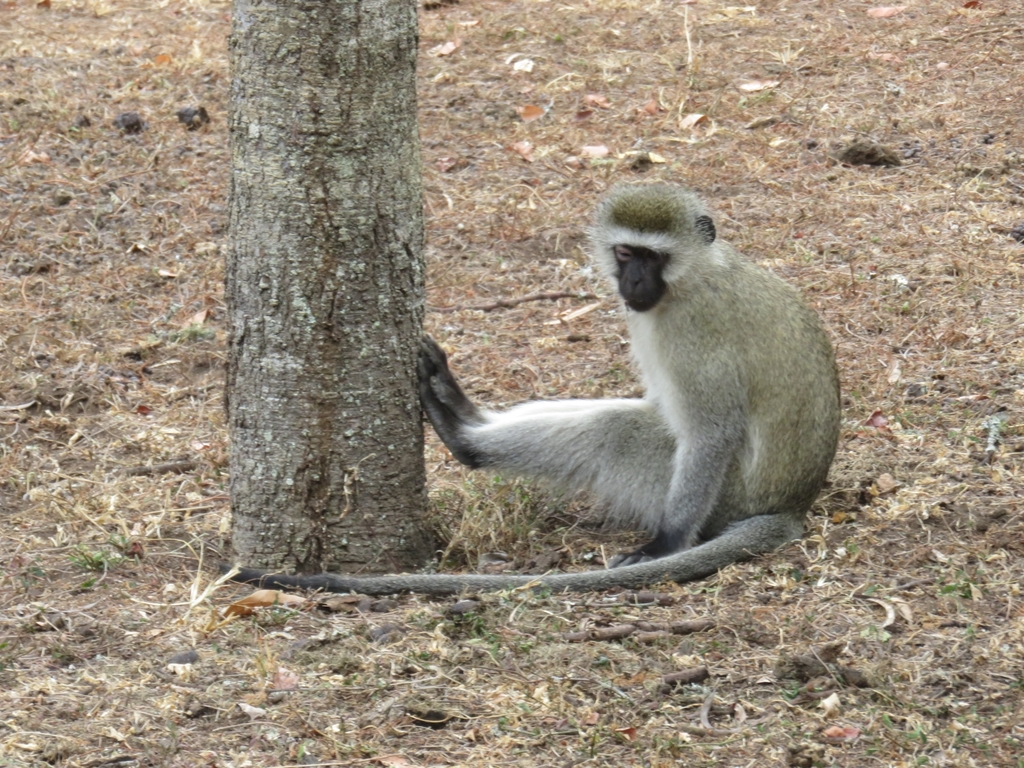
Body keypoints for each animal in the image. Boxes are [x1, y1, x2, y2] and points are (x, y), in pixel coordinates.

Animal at [228, 184, 840, 596]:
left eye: (654, 257)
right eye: (626, 253)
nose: (633, 282)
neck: (690, 279)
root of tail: (792, 504)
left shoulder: (697, 332)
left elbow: (711, 432)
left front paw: (664, 545)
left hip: (724, 495)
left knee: (614, 430)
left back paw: (466, 445)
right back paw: (460, 413)